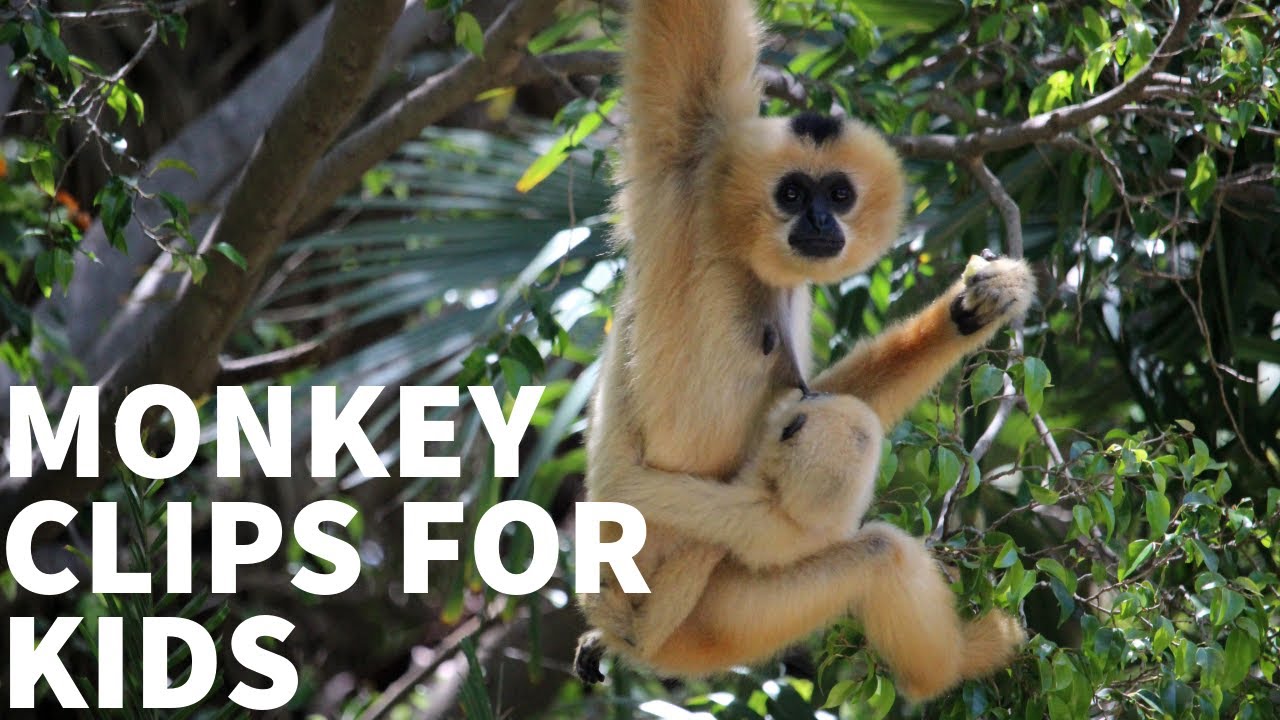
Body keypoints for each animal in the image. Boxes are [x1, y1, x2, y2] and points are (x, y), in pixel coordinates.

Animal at [574, 0, 1035, 702]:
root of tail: (632, 631)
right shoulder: (687, 175)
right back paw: (957, 664)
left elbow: (821, 393)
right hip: (715, 615)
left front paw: (972, 311)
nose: (819, 221)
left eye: (838, 193)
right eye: (792, 193)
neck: (739, 252)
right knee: (875, 553)